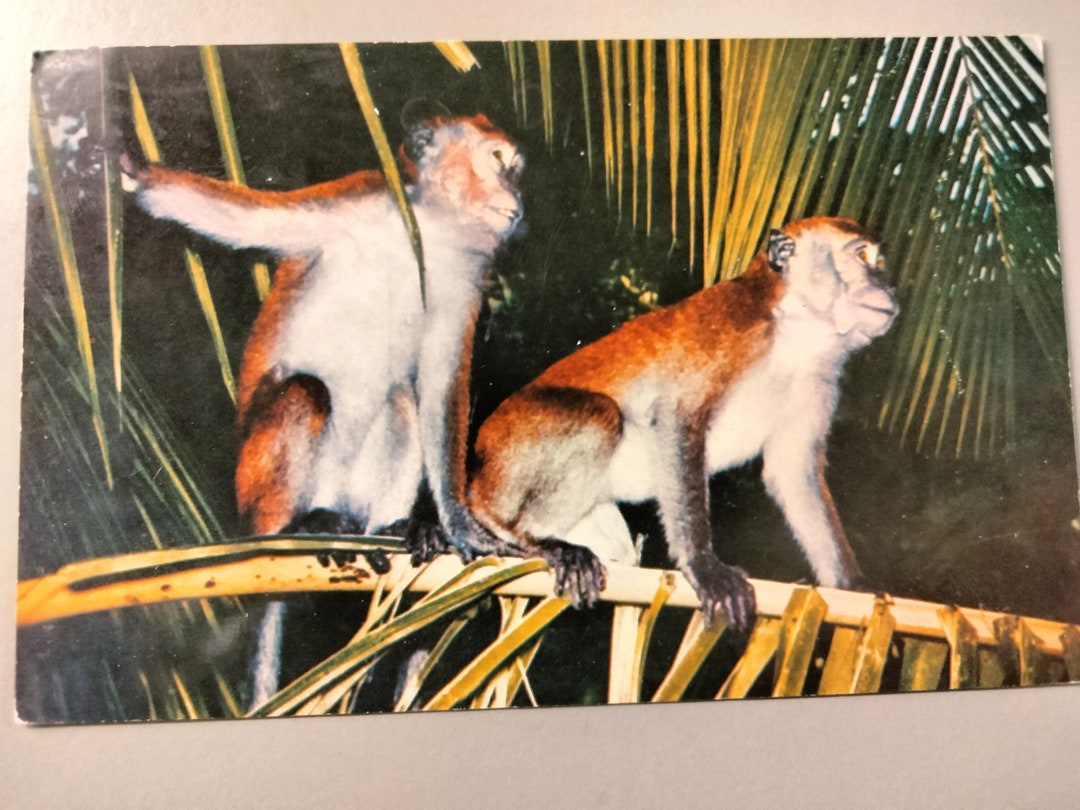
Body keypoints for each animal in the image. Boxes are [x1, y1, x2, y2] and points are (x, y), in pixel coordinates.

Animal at [124, 100, 524, 559]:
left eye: (515, 170)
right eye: (497, 159)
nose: (517, 195)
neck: (428, 232)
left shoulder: (465, 275)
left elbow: (439, 388)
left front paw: (460, 525)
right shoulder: (353, 200)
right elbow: (241, 220)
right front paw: (131, 171)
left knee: (399, 402)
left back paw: (390, 527)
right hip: (252, 486)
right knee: (304, 391)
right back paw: (290, 528)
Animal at [467, 217, 899, 630]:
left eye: (880, 262)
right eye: (862, 257)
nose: (889, 288)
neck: (794, 332)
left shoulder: (820, 379)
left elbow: (792, 472)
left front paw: (851, 586)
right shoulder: (731, 329)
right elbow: (677, 418)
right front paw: (703, 565)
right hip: (508, 452)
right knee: (598, 417)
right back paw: (514, 533)